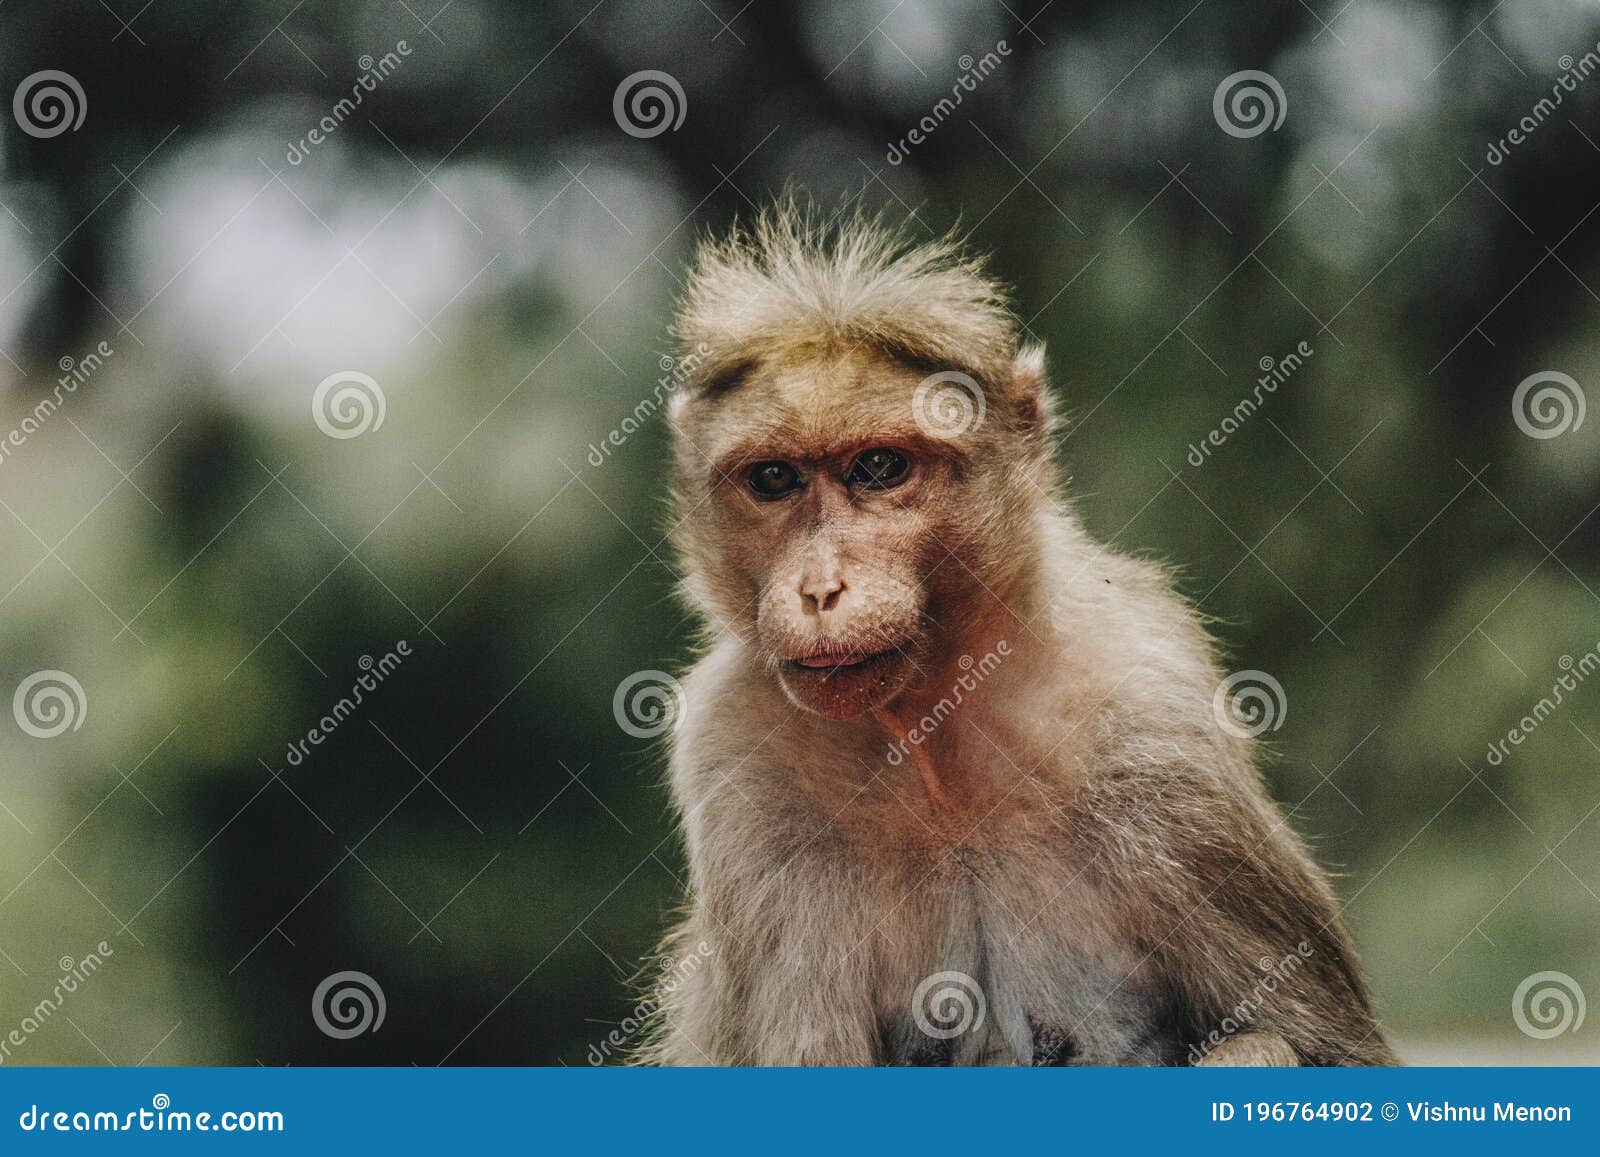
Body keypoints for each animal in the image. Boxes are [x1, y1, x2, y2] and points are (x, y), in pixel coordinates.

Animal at [640, 201, 1397, 1067]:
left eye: (879, 467)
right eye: (773, 479)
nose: (820, 588)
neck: (933, 732)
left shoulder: (1161, 726)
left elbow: (1325, 1047)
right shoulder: (736, 758)